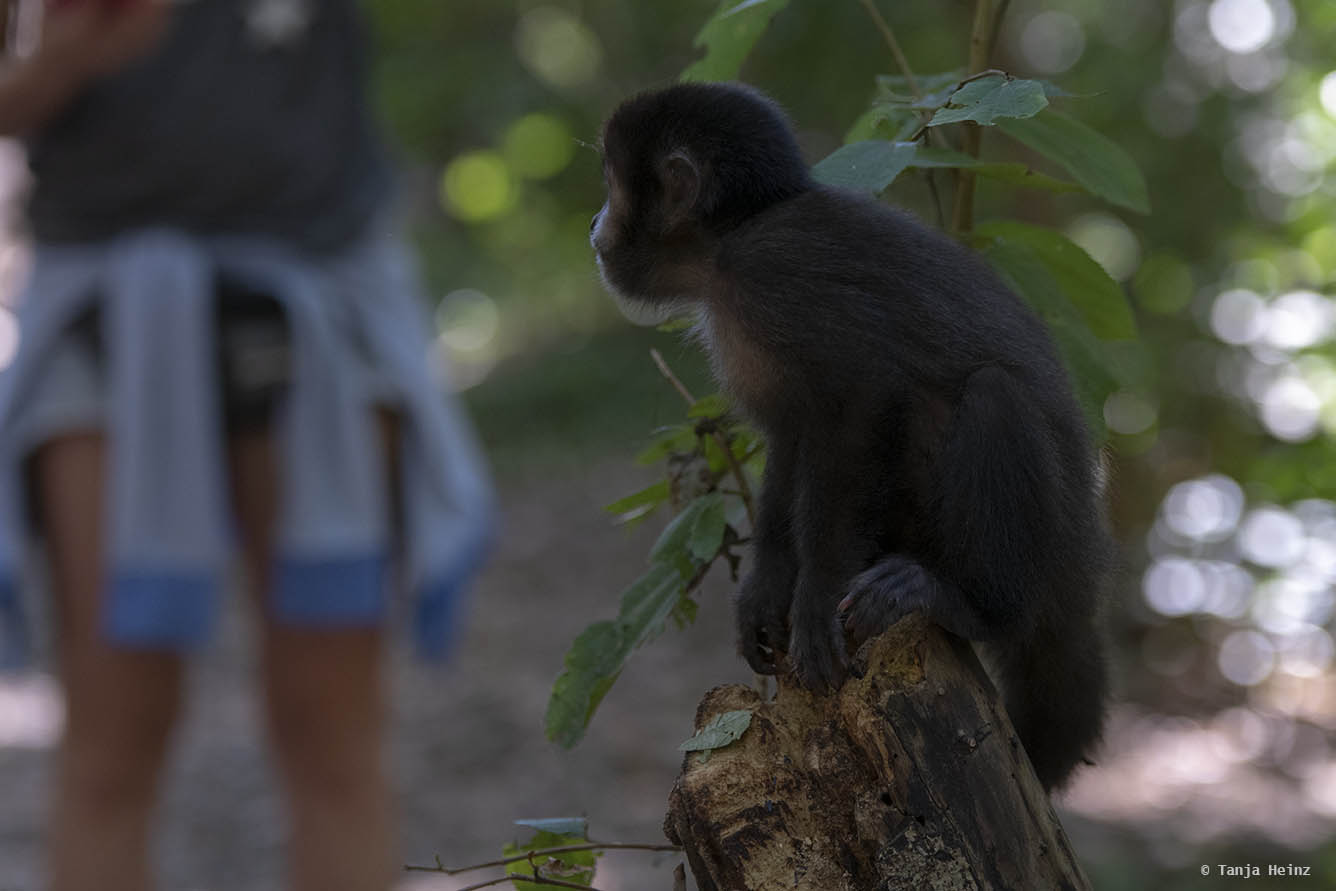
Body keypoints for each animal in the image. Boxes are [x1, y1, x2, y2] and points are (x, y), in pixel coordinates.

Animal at [590, 81, 1112, 792]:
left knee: (994, 399)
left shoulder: (773, 276)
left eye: (610, 183)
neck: (729, 242)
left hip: (1047, 546)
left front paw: (814, 599)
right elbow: (792, 431)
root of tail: (1083, 564)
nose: (595, 223)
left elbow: (861, 399)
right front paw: (766, 591)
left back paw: (972, 605)